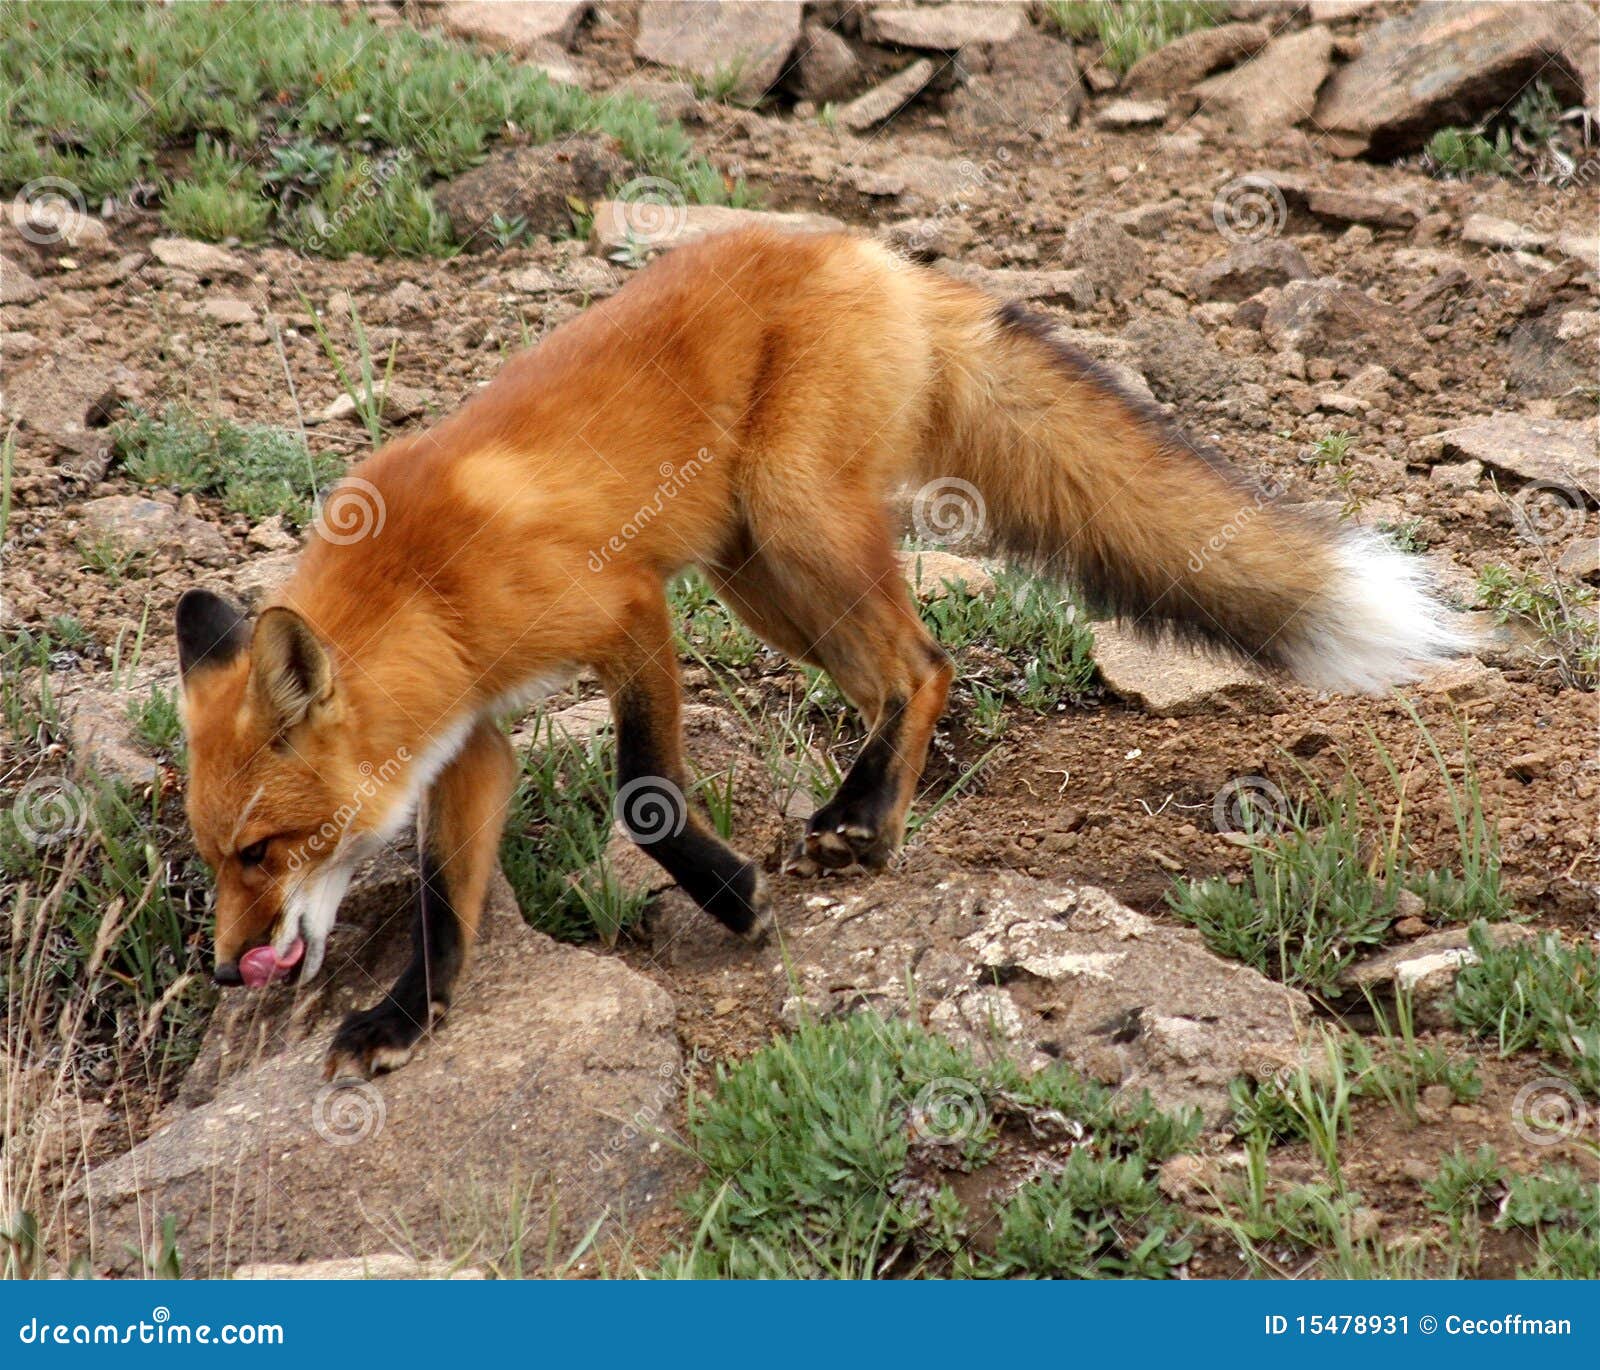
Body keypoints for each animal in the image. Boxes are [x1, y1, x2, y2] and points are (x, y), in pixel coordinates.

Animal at [175, 227, 1468, 1081]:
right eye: (214, 854)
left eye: (262, 848)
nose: (226, 967)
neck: (431, 591)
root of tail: (871, 250)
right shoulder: (469, 738)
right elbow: (447, 903)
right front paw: (406, 1018)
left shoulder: (628, 612)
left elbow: (643, 789)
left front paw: (730, 894)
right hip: (758, 575)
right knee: (894, 675)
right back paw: (863, 805)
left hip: (795, 517)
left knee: (927, 661)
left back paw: (861, 820)